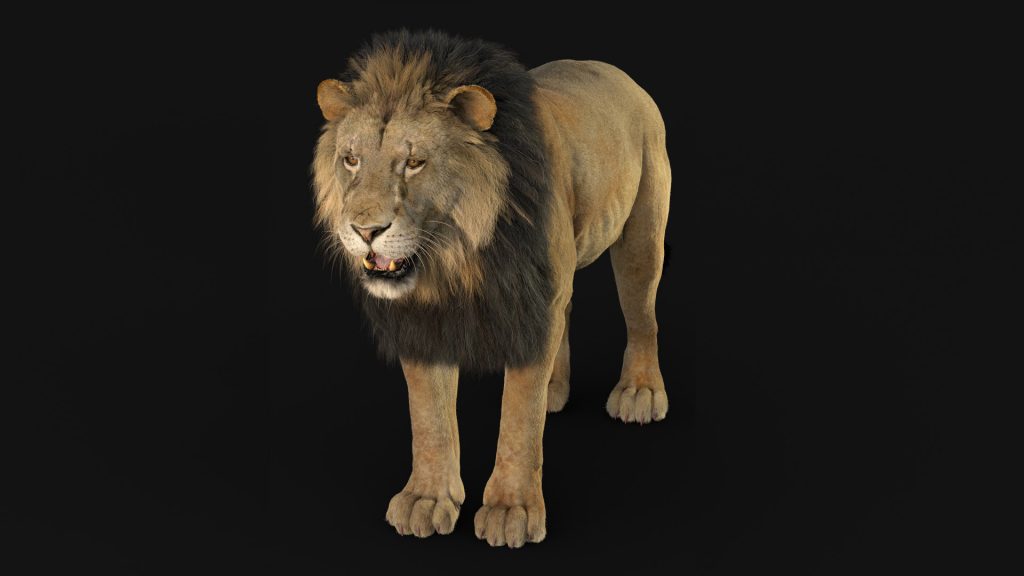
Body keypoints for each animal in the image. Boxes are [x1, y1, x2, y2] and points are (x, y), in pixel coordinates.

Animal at [312, 30, 670, 548]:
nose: (364, 230)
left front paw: (510, 509)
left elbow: (519, 417)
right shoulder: (423, 317)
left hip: (642, 233)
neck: (456, 257)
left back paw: (639, 391)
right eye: (351, 159)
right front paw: (426, 499)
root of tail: (618, 74)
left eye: (415, 162)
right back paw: (556, 389)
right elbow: (429, 417)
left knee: (642, 317)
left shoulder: (530, 297)